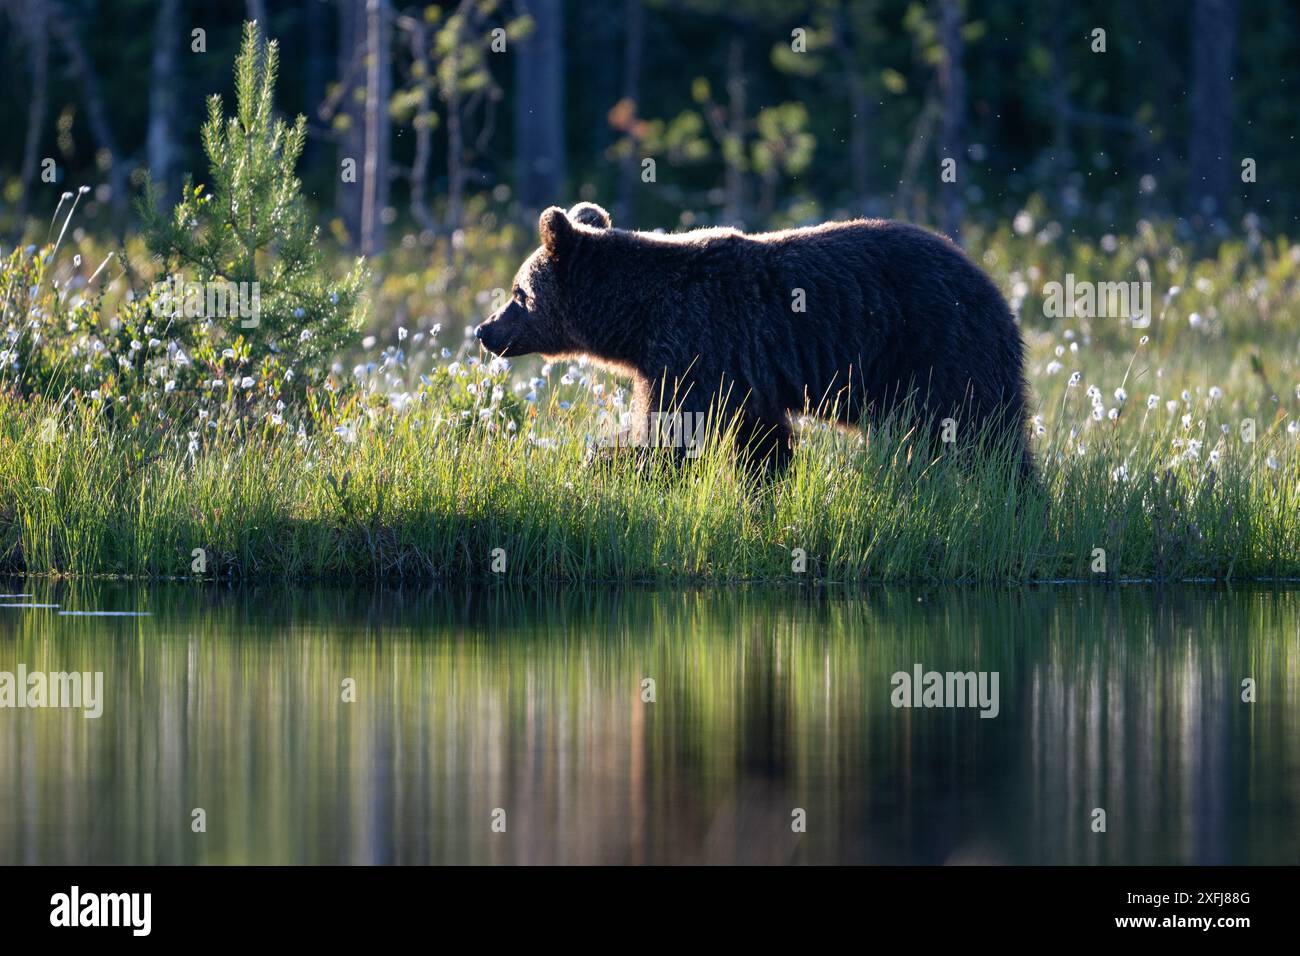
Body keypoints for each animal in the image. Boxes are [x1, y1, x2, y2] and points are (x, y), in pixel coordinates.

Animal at [476, 201, 1032, 478]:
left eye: (519, 292)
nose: (485, 330)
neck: (635, 320)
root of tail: (996, 288)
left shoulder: (694, 345)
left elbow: (677, 435)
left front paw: (609, 460)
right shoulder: (733, 370)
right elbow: (759, 439)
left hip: (939, 348)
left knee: (982, 433)